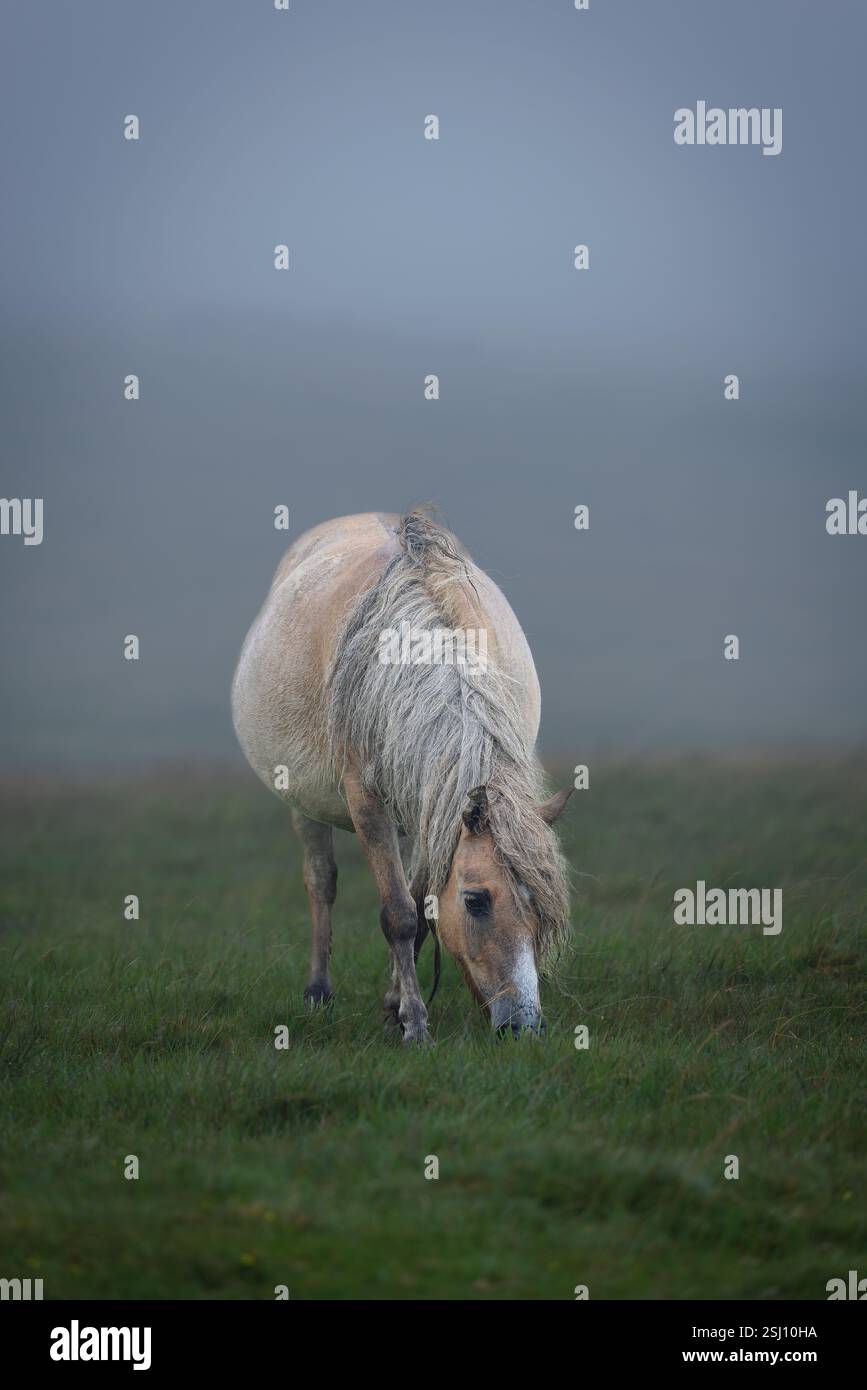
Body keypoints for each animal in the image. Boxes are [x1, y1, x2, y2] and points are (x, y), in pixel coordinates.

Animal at [231, 510, 573, 1043]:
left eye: (543, 904)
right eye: (476, 901)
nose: (524, 1026)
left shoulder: (434, 808)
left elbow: (421, 909)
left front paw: (395, 1006)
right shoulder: (367, 803)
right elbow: (399, 913)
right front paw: (414, 1024)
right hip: (305, 803)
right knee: (320, 881)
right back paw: (318, 991)